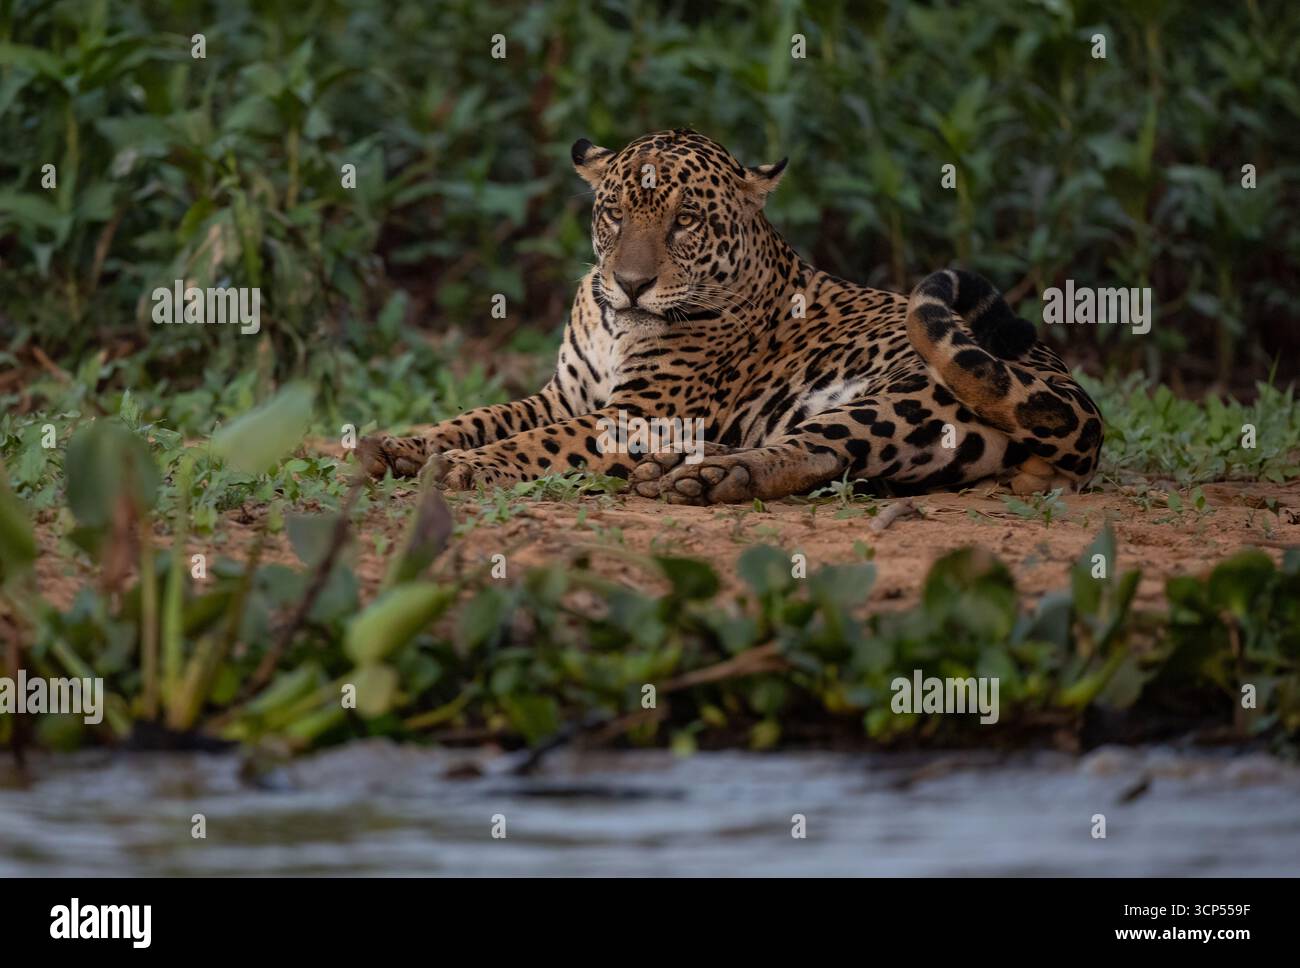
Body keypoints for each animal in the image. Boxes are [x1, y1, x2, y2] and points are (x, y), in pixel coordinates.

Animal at [359, 128, 1103, 505]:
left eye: (685, 220)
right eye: (614, 213)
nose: (630, 284)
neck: (614, 325)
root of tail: (1081, 406)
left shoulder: (641, 412)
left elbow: (535, 443)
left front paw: (463, 468)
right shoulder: (565, 395)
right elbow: (484, 416)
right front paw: (401, 444)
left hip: (907, 394)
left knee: (817, 449)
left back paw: (705, 477)